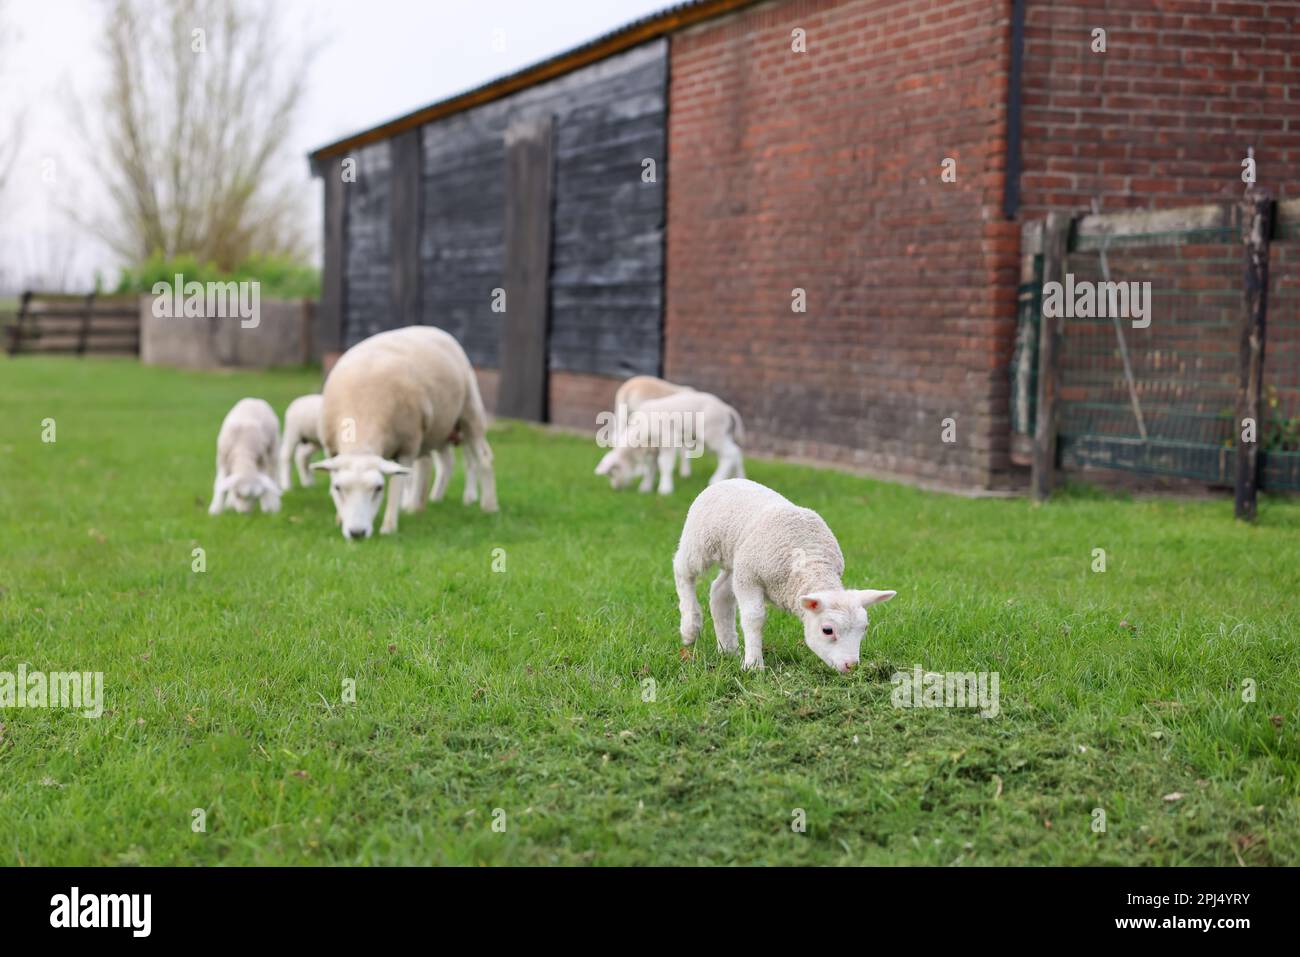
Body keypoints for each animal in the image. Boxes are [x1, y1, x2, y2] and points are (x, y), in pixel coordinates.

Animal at [313, 325, 497, 540]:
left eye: (378, 488)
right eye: (338, 487)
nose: (357, 533)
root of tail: (432, 329)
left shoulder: (406, 448)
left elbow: (396, 486)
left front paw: (389, 527)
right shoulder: (331, 450)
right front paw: (340, 519)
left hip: (469, 411)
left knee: (483, 457)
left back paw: (489, 506)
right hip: (434, 432)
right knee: (435, 464)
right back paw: (422, 505)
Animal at [595, 389, 744, 495]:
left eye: (612, 473)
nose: (615, 488)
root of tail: (725, 408)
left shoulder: (668, 440)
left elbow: (664, 465)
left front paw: (665, 489)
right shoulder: (654, 448)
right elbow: (651, 466)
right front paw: (645, 487)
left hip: (712, 433)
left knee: (730, 453)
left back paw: (716, 479)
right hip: (723, 433)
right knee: (736, 452)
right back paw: (738, 478)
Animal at [672, 478, 896, 673]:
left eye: (864, 628)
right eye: (827, 630)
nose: (851, 666)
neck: (811, 563)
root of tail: (728, 480)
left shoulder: (745, 572)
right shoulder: (750, 577)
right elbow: (754, 618)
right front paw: (753, 665)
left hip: (736, 560)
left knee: (719, 593)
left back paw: (727, 649)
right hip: (700, 542)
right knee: (682, 570)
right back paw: (690, 627)